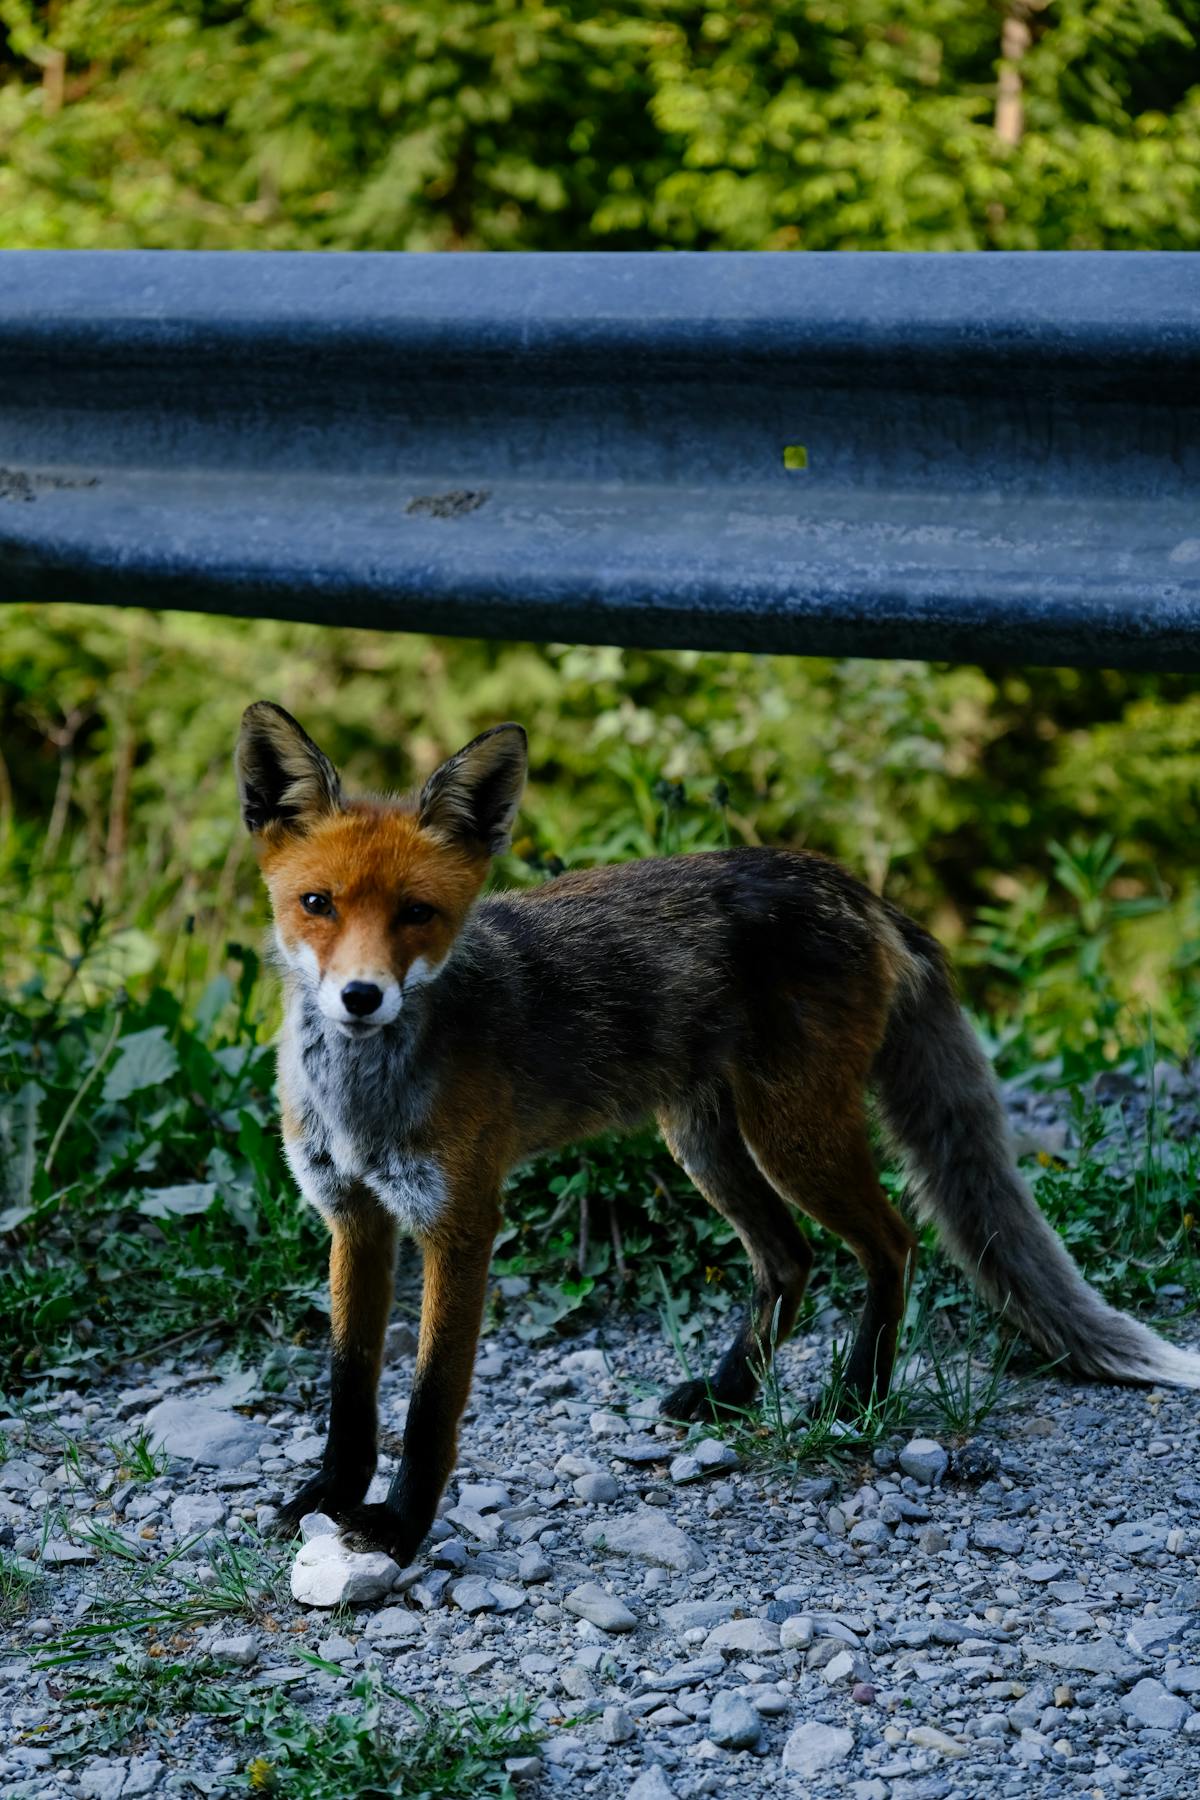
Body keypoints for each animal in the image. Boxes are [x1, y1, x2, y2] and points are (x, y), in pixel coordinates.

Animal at [235, 700, 1200, 1566]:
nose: (362, 997)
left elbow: (431, 1401)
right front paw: (327, 1496)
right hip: (706, 1143)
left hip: (792, 1134)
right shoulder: (354, 1217)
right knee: (790, 1258)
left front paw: (398, 1532)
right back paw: (733, 1396)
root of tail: (852, 886)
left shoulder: (460, 1222)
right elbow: (350, 1387)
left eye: (417, 914)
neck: (363, 1102)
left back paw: (853, 1401)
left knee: (892, 1241)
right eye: (317, 903)